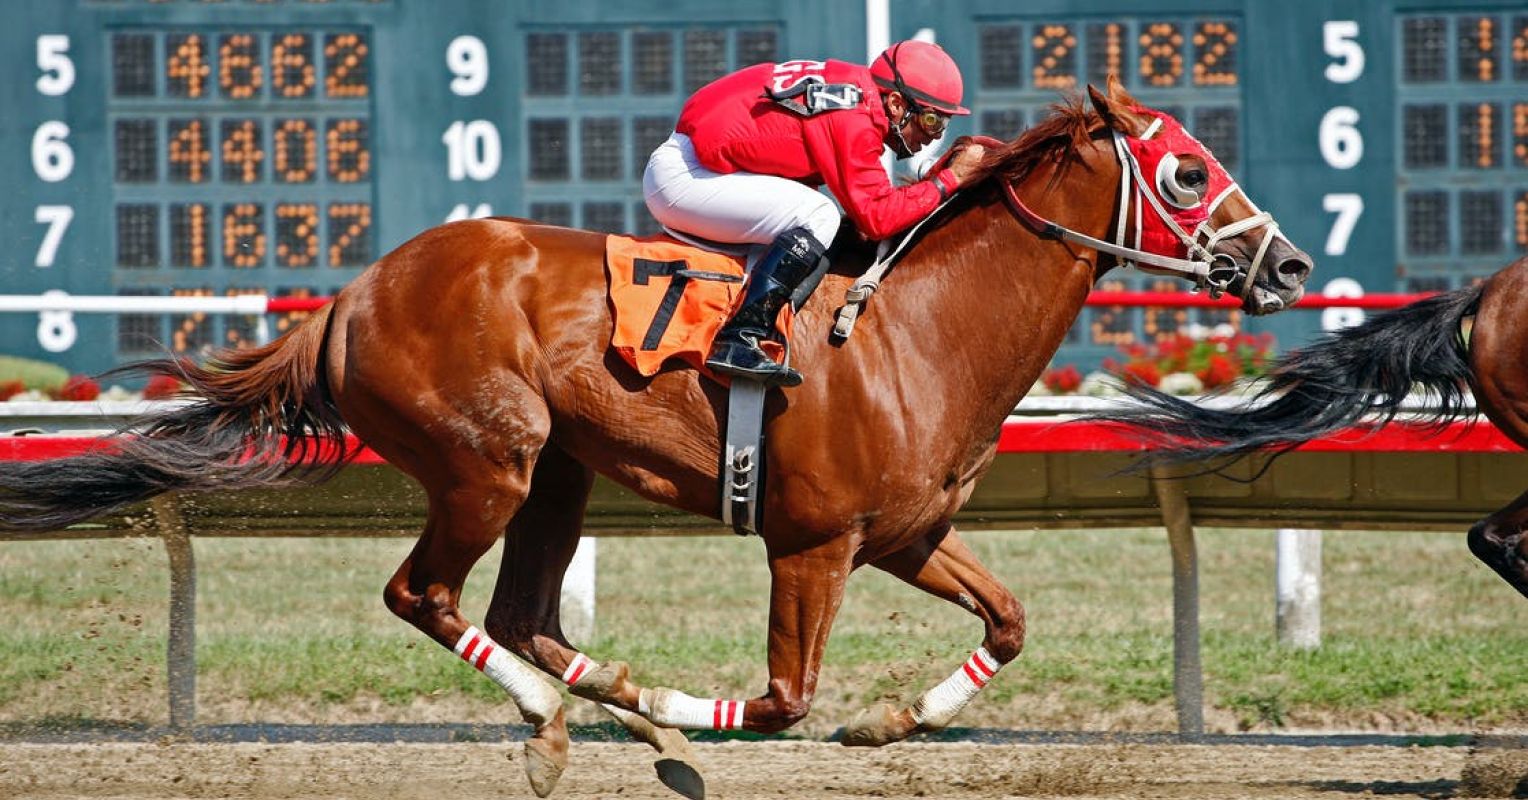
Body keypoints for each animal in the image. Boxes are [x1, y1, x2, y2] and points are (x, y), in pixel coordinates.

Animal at [0, 79, 1311, 797]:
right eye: (1186, 172)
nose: (1291, 264)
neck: (918, 333)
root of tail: (353, 294)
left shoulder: (905, 533)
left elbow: (1009, 620)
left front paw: (890, 719)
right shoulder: (811, 543)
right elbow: (780, 701)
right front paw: (696, 728)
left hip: (559, 473)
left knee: (523, 610)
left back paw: (603, 701)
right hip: (490, 458)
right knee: (426, 594)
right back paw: (555, 722)